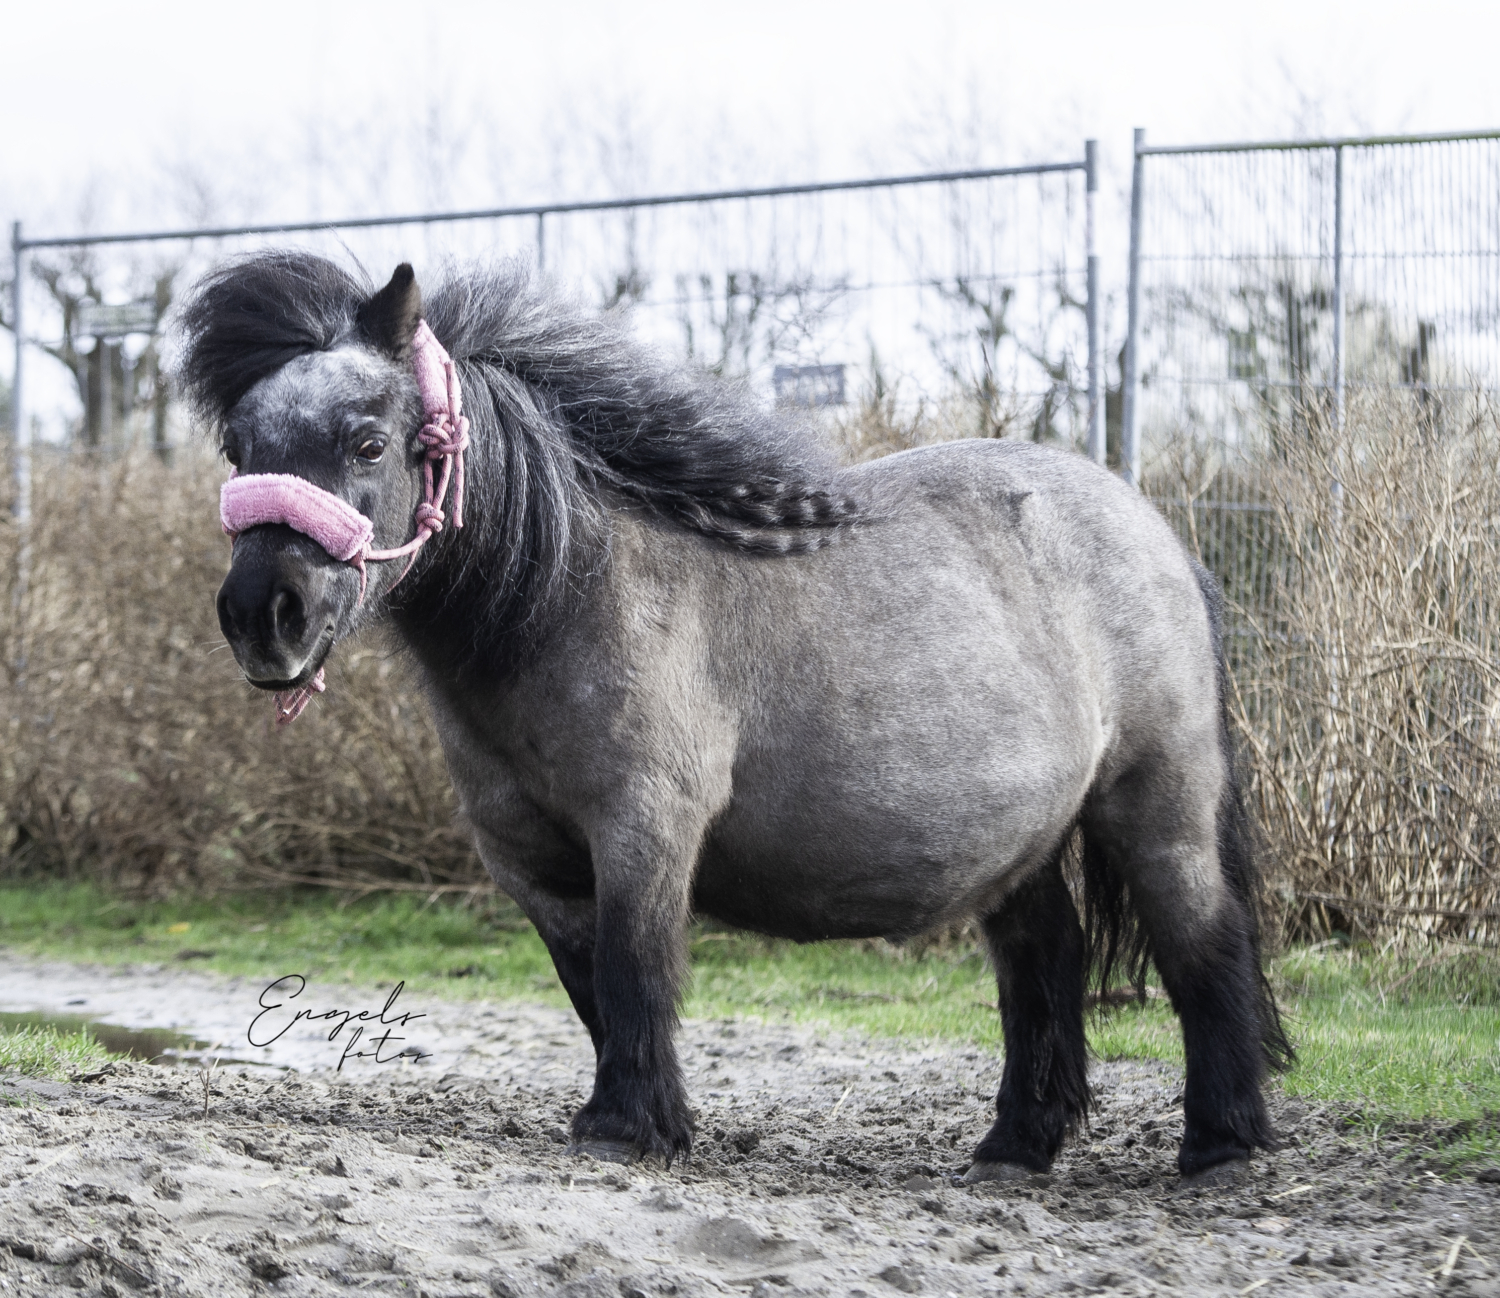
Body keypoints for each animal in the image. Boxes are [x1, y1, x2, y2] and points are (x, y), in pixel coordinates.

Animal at [177, 251, 1291, 1181]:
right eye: (240, 447)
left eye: (368, 441)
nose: (263, 616)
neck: (576, 590)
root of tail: (1155, 531)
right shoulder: (533, 864)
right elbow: (590, 986)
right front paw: (642, 1117)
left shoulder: (645, 828)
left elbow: (634, 969)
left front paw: (627, 1129)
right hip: (1018, 840)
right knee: (1043, 961)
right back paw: (1017, 1145)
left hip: (1160, 798)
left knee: (1204, 943)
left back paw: (1220, 1145)